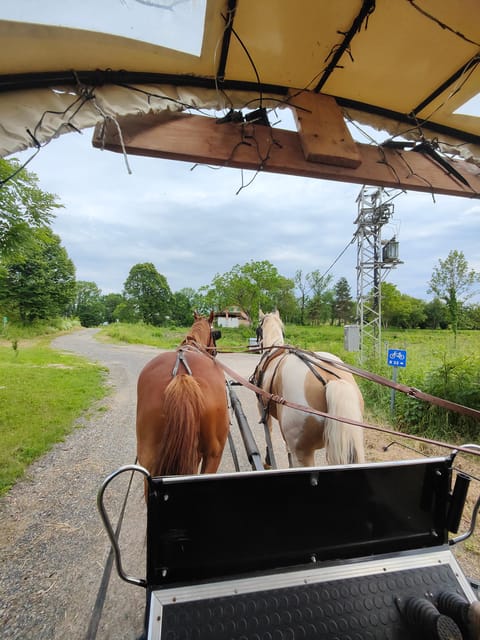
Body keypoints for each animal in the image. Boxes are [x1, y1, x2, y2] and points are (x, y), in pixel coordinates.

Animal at [251, 309, 365, 468]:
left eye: (258, 329)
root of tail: (330, 379)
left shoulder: (261, 406)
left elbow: (269, 432)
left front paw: (268, 461)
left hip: (303, 452)